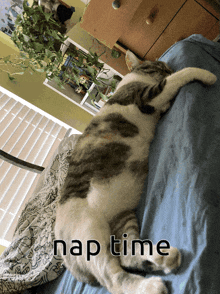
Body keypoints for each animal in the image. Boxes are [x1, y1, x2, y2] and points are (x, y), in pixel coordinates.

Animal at [55, 52, 217, 294]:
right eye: (160, 67)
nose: (168, 69)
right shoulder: (147, 96)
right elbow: (182, 74)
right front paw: (207, 75)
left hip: (123, 218)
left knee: (128, 254)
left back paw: (164, 258)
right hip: (92, 234)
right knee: (113, 278)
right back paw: (150, 286)